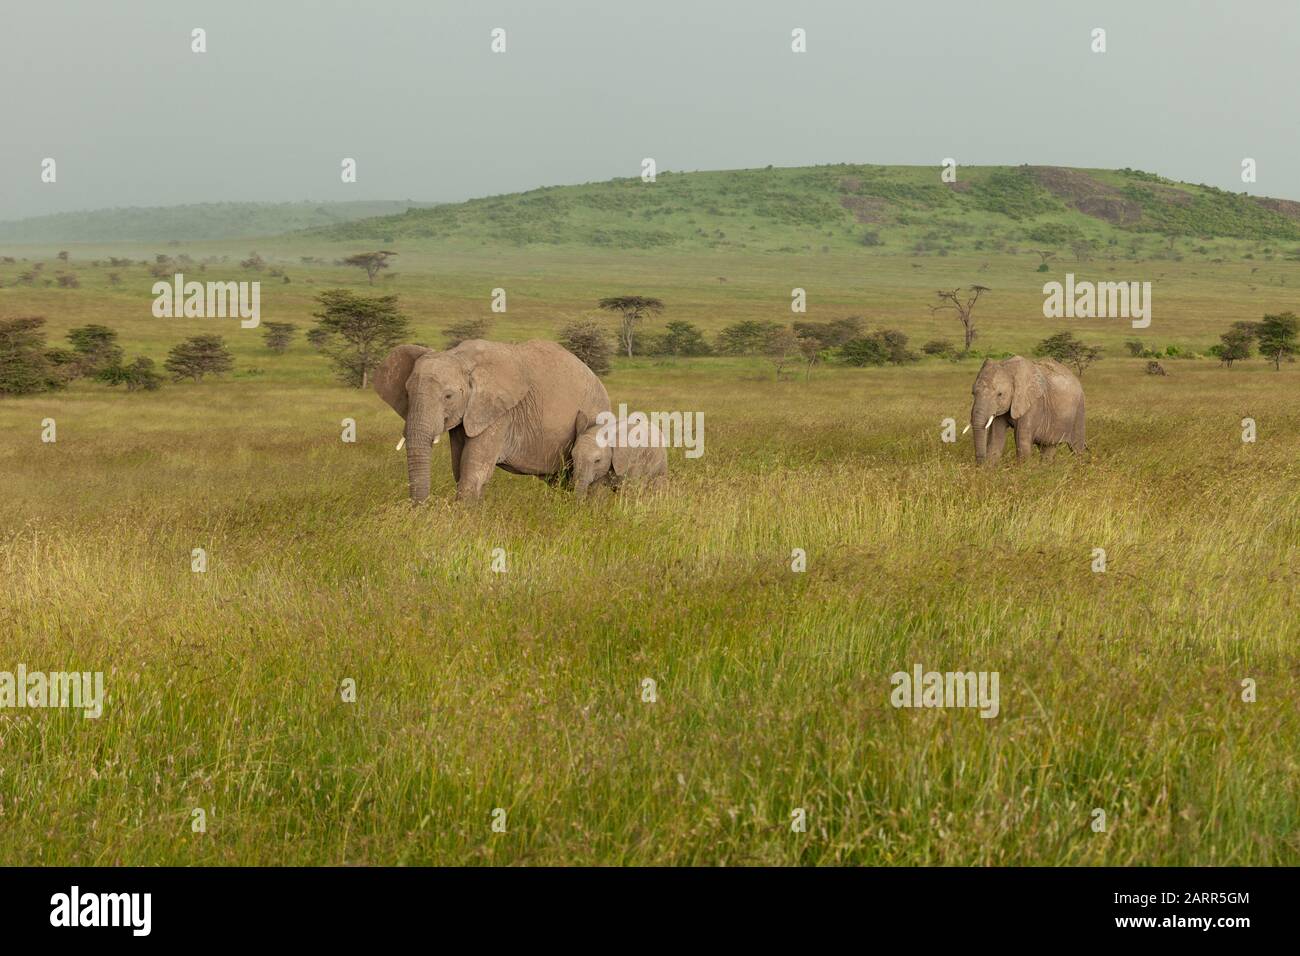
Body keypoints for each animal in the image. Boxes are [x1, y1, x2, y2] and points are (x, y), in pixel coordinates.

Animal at [374, 339, 610, 502]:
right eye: (407, 393)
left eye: (448, 396)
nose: (422, 508)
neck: (460, 358)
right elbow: (460, 469)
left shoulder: (499, 413)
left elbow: (473, 471)